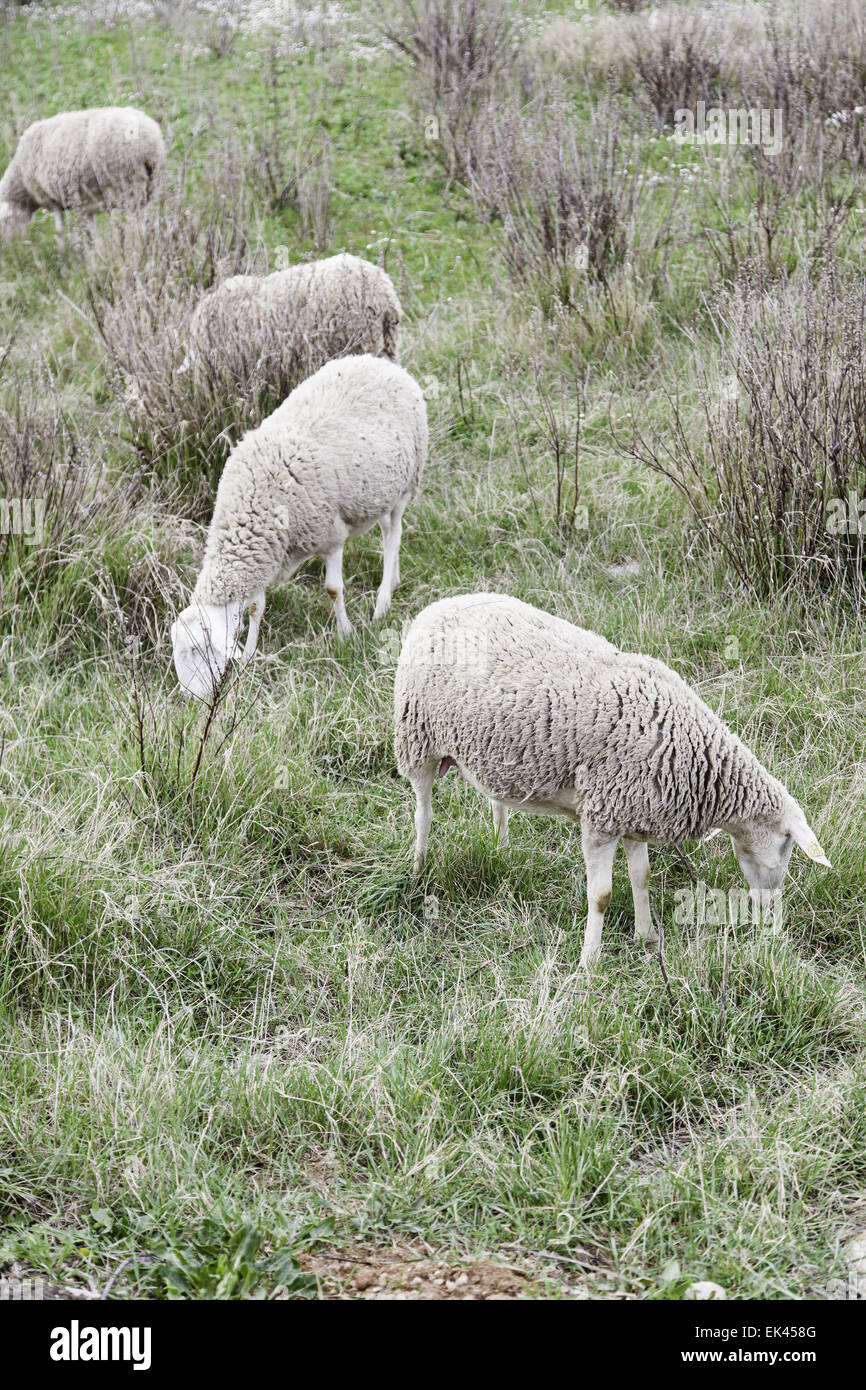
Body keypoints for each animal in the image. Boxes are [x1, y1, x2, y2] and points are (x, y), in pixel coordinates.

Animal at [0, 107, 166, 246]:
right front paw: (98, 254)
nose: (10, 250)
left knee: (135, 226)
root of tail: (148, 140)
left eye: (4, 222)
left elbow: (60, 231)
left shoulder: (53, 200)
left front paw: (64, 257)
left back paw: (136, 249)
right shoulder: (85, 204)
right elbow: (93, 232)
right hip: (150, 185)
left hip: (129, 185)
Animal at [171, 354, 427, 700]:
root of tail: (379, 362)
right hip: (381, 491)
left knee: (393, 536)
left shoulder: (331, 535)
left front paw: (345, 633)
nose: (191, 700)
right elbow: (255, 607)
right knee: (389, 533)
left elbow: (333, 589)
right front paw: (249, 656)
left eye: (197, 650)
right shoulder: (268, 550)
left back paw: (383, 601)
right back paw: (395, 580)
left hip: (405, 483)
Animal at [394, 594, 831, 968]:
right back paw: (418, 867)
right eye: (786, 848)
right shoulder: (602, 818)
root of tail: (438, 604)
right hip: (416, 736)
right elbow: (601, 896)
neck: (697, 760)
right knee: (423, 813)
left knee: (495, 801)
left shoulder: (634, 813)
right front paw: (589, 963)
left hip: (488, 752)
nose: (771, 911)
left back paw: (501, 849)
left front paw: (646, 936)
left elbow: (642, 876)